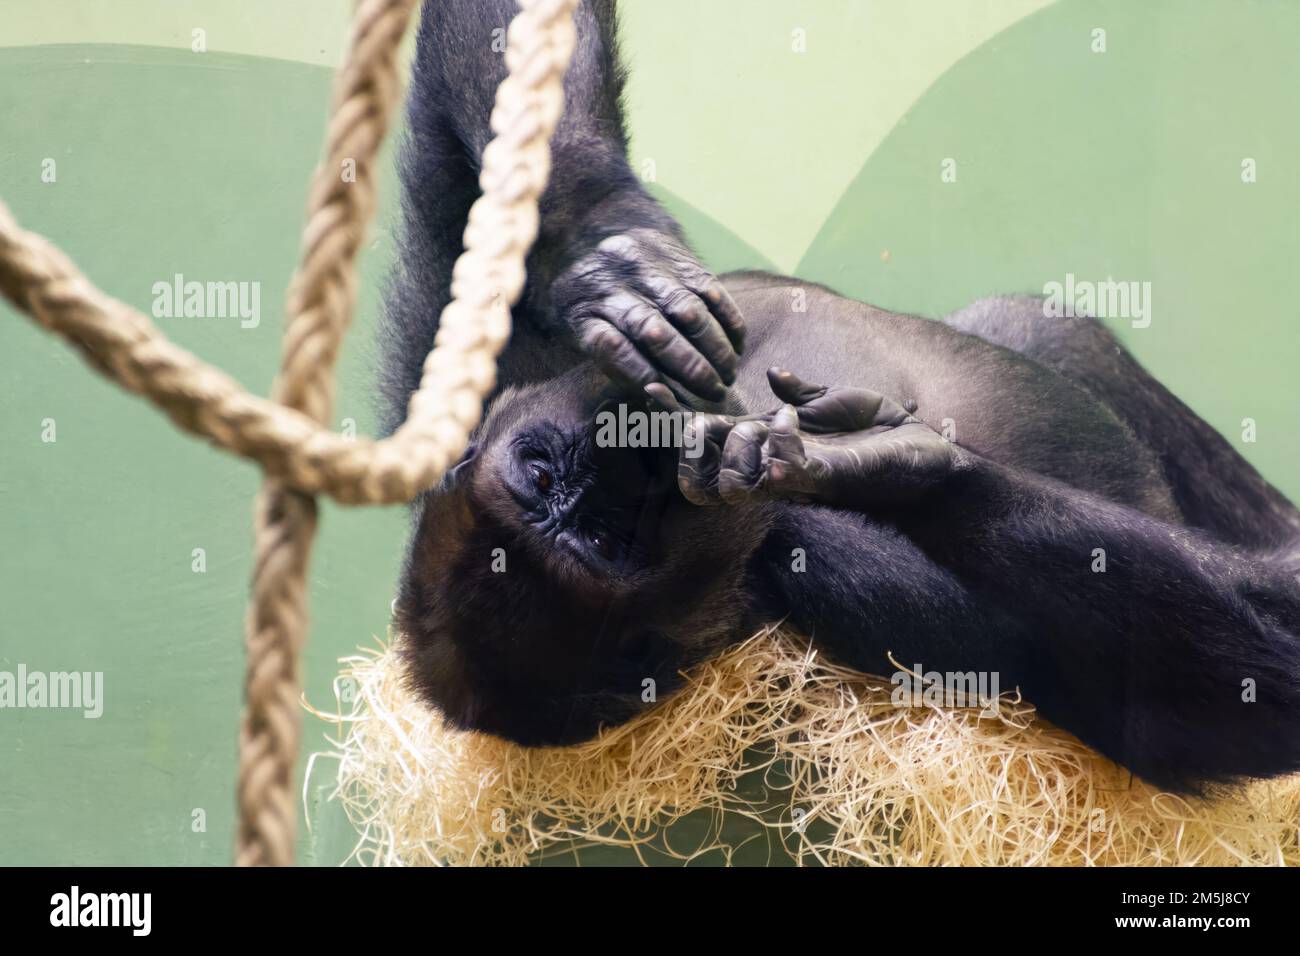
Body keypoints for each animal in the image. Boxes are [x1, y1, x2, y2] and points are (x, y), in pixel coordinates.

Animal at [378, 0, 1300, 795]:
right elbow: (1204, 708)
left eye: (544, 472)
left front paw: (605, 253)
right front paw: (899, 467)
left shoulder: (495, 377)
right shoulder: (834, 582)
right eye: (607, 537)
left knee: (1038, 329)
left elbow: (498, 152)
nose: (624, 468)